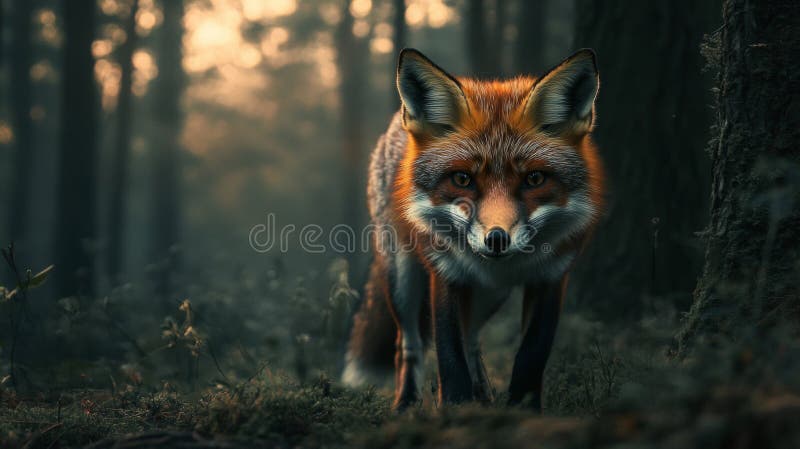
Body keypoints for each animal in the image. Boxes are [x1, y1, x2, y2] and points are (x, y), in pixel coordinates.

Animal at [342, 48, 604, 411]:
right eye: (462, 179)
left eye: (534, 179)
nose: (497, 239)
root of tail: (397, 121)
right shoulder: (446, 272)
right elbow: (449, 355)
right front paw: (454, 407)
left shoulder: (552, 276)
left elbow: (531, 354)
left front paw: (523, 408)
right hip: (402, 280)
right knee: (406, 345)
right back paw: (406, 403)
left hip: (491, 294)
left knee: (473, 339)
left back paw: (483, 396)